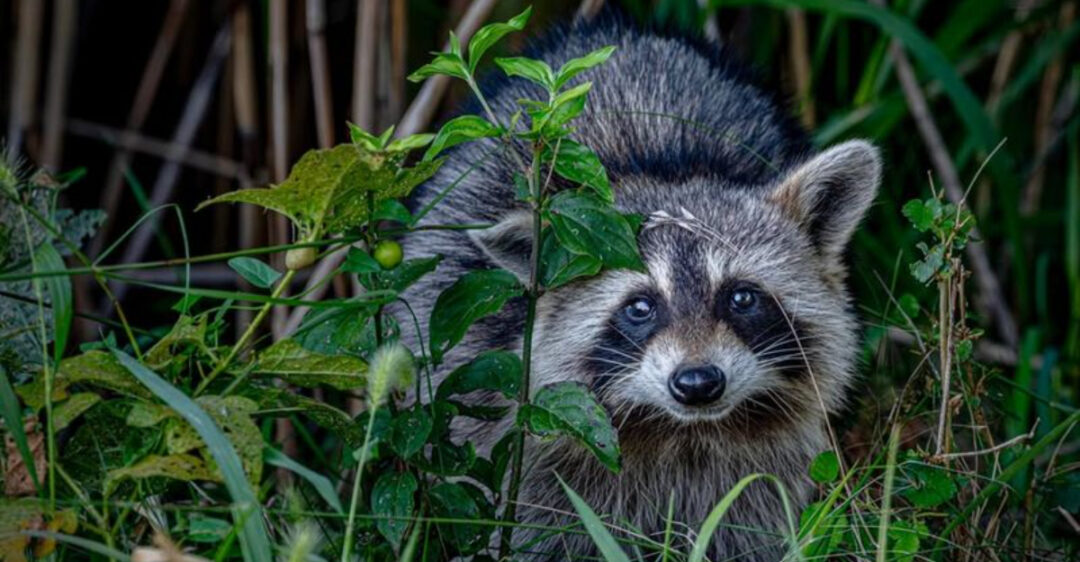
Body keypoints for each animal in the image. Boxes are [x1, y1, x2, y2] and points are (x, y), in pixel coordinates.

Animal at [397, 14, 881, 561]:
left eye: (741, 297)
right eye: (641, 307)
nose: (698, 383)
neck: (681, 431)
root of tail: (608, 30)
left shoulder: (761, 463)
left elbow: (752, 520)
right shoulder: (522, 445)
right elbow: (531, 529)